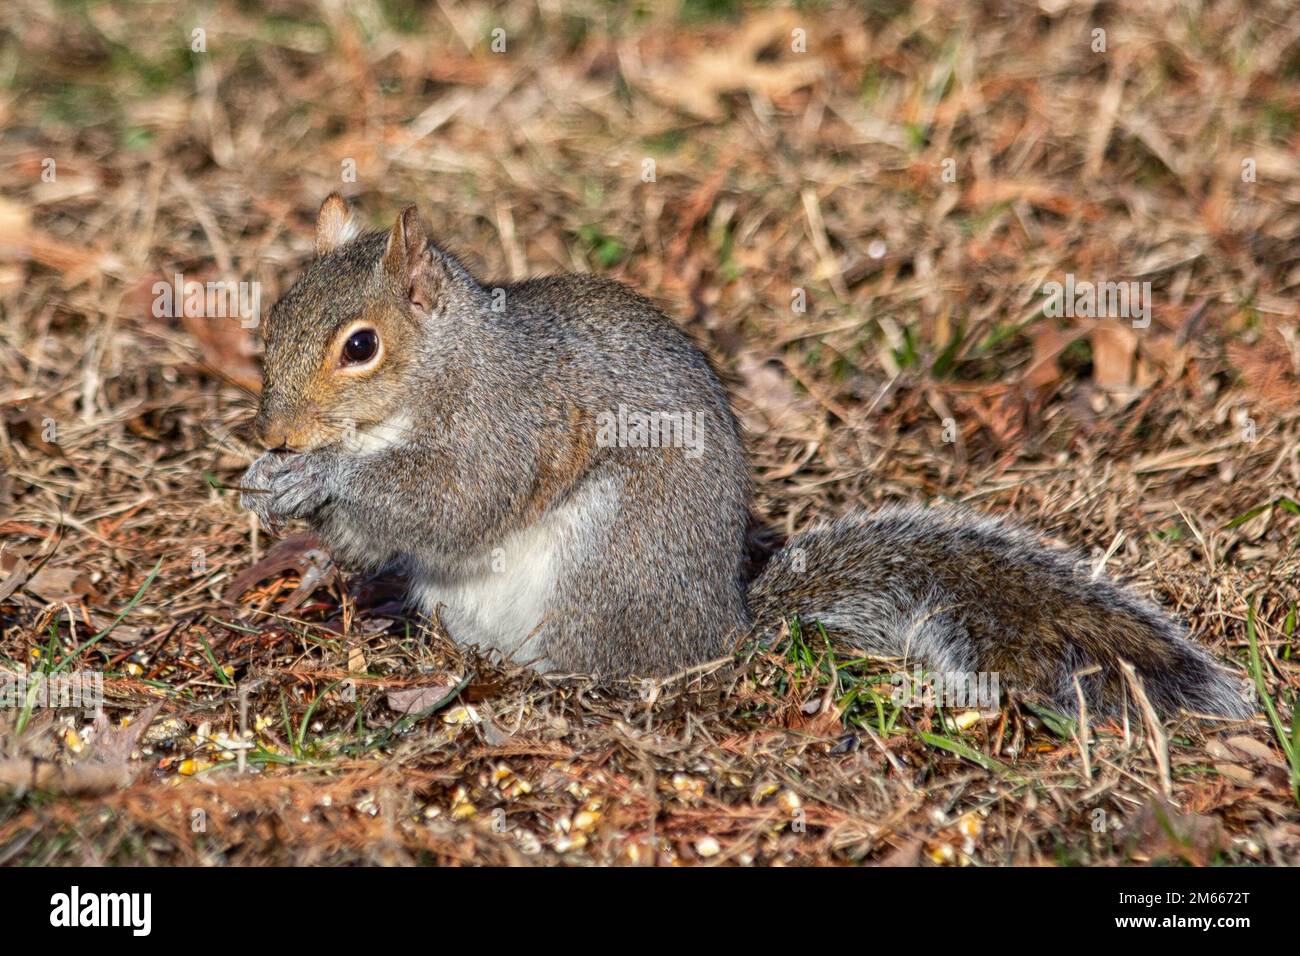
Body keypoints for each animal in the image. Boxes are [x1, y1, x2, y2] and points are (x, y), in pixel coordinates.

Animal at [239, 194, 1251, 719]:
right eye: (275, 318)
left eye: (361, 347)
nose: (276, 435)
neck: (449, 365)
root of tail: (720, 628)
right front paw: (272, 490)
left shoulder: (507, 426)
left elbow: (452, 501)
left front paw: (319, 481)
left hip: (609, 563)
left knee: (603, 664)